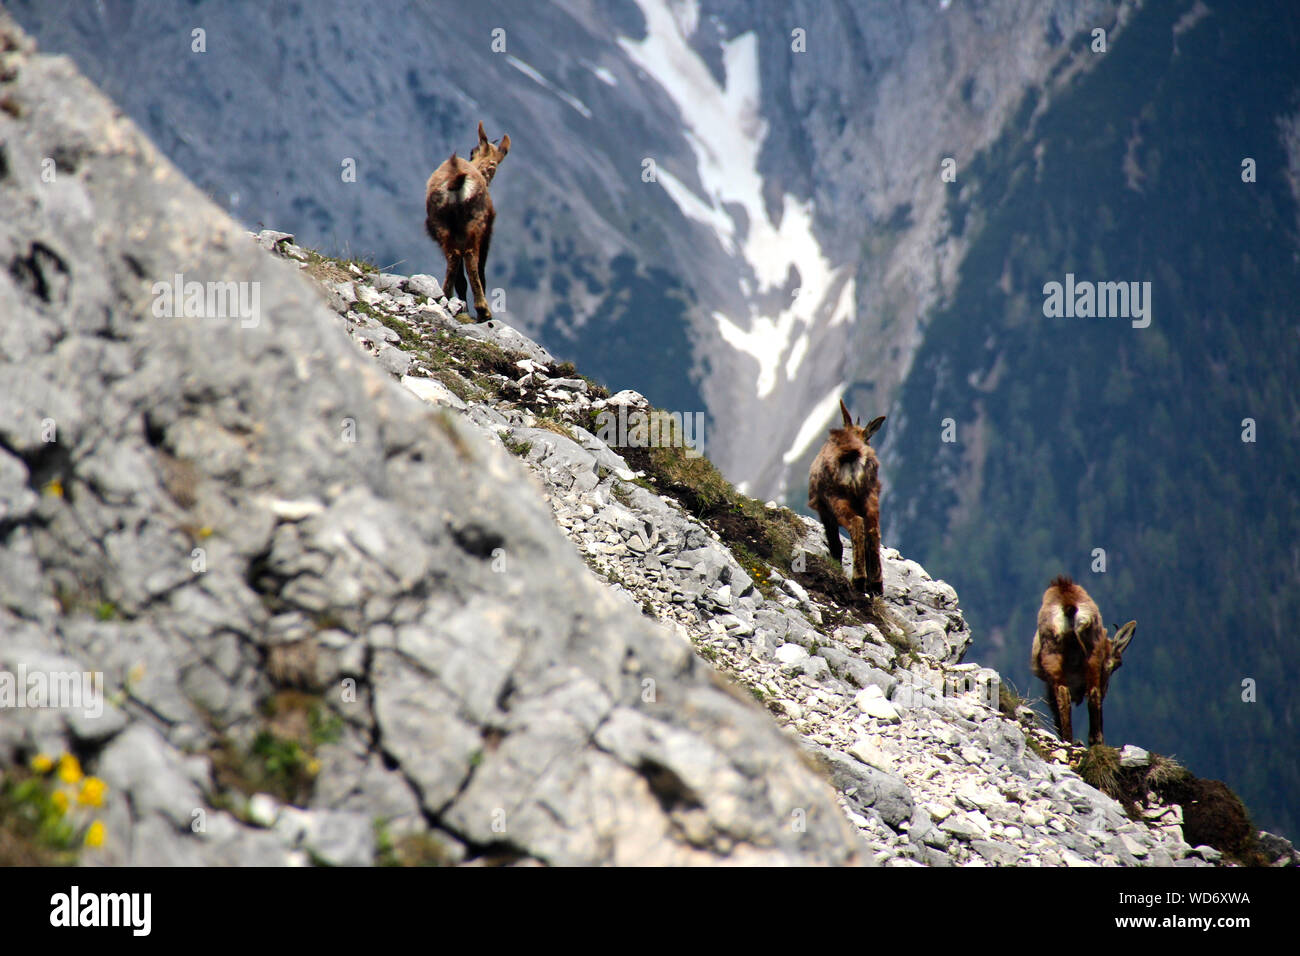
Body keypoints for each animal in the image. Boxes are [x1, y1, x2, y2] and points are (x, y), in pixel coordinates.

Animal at [424, 121, 510, 319]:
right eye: (472, 151)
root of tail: (456, 180)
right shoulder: (486, 234)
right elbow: (481, 270)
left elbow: (461, 278)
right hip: (474, 224)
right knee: (471, 258)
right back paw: (483, 310)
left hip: (442, 224)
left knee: (453, 257)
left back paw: (447, 295)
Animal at [808, 400, 886, 595]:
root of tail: (852, 454)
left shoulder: (823, 510)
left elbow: (835, 542)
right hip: (870, 494)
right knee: (872, 529)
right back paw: (876, 585)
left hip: (836, 497)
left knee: (856, 523)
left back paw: (858, 580)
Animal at [1031, 575, 1136, 746]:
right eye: (1117, 664)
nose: (1106, 687)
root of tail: (1069, 607)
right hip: (1091, 652)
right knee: (1093, 693)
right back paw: (1093, 740)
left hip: (1053, 654)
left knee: (1065, 694)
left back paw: (1071, 739)